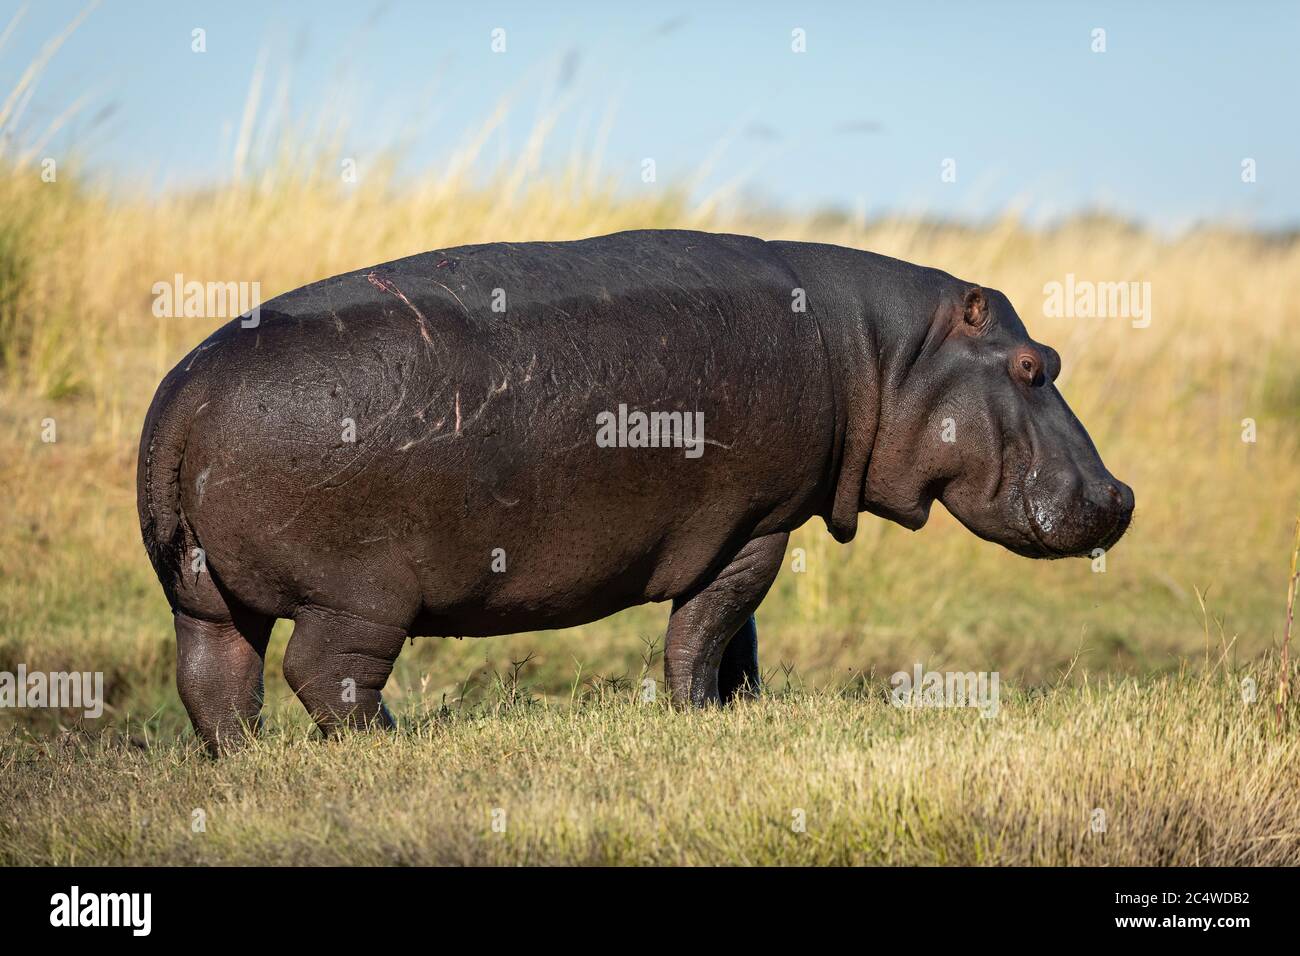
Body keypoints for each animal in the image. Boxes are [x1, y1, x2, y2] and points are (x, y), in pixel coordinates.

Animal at [139, 230, 1128, 754]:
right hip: (359, 594)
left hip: (205, 592)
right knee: (324, 674)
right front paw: (702, 715)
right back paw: (390, 741)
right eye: (1033, 365)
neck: (887, 354)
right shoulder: (758, 526)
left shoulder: (749, 524)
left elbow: (737, 637)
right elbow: (705, 630)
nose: (1120, 497)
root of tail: (180, 394)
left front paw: (744, 710)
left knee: (216, 676)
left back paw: (245, 758)